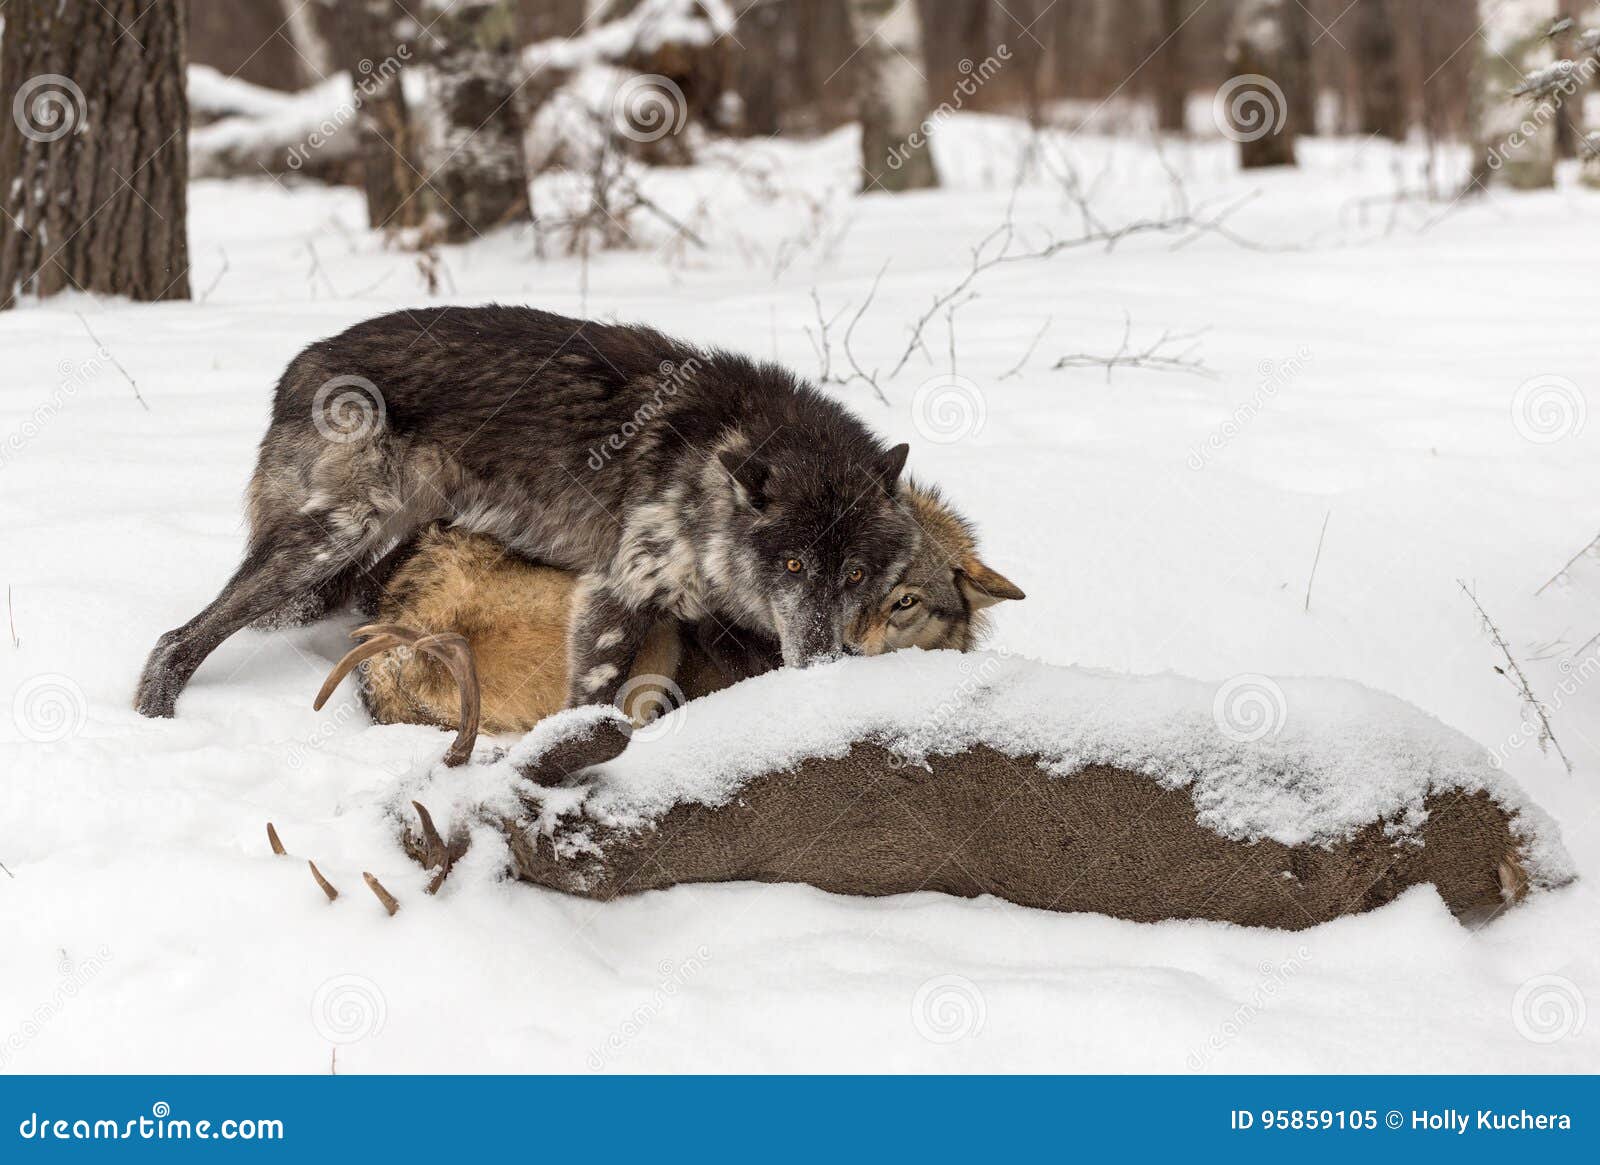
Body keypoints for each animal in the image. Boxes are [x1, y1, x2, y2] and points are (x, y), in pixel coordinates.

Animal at [134, 306, 920, 718]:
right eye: (791, 563)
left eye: (853, 574)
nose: (822, 666)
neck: (713, 464)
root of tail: (303, 364)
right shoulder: (619, 592)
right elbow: (593, 699)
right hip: (332, 539)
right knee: (178, 636)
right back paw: (156, 709)